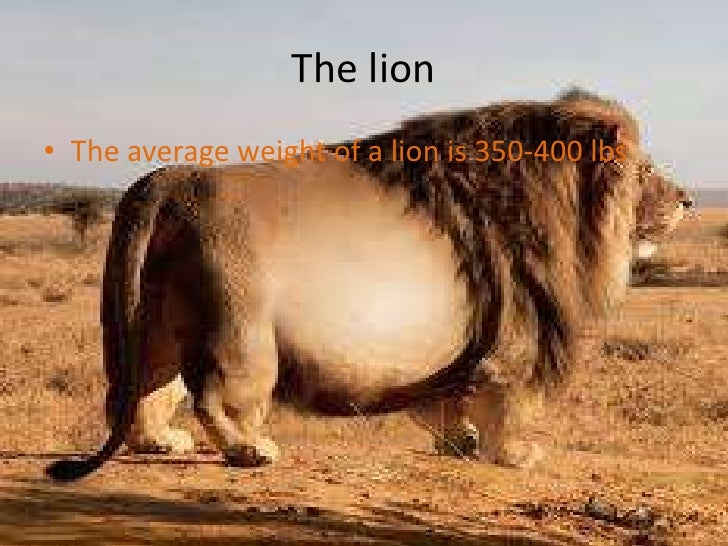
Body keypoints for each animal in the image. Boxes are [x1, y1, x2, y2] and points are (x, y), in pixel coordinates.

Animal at [48, 91, 666, 481]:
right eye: (646, 171)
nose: (684, 198)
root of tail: (166, 181)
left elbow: (445, 403)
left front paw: (460, 443)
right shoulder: (517, 342)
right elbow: (511, 406)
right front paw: (516, 456)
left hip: (149, 323)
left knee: (138, 391)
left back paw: (158, 441)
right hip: (240, 328)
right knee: (216, 397)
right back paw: (252, 451)